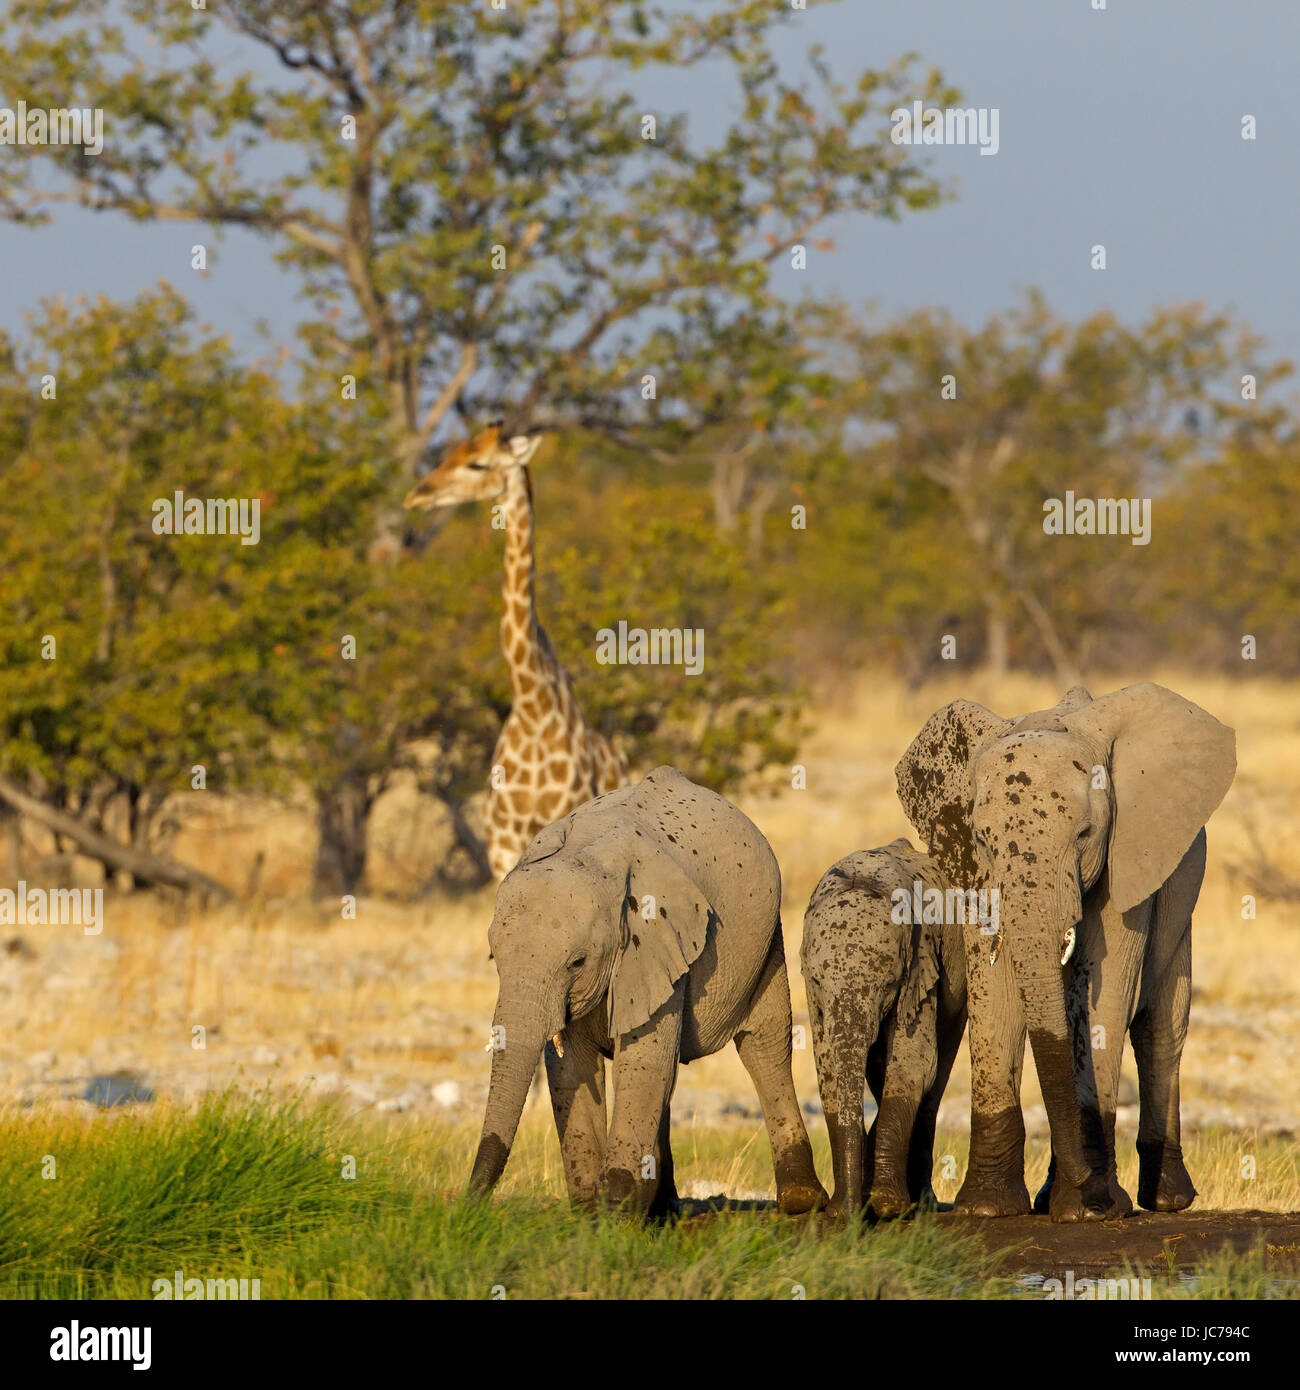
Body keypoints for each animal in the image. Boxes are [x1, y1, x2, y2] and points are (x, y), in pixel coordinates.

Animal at [467, 765, 828, 1217]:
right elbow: (573, 1067)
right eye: (494, 959)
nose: (467, 1205)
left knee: (764, 1044)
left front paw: (615, 1210)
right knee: (671, 1074)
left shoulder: (655, 943)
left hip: (766, 938)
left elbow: (641, 1059)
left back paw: (801, 1201)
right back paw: (661, 1207)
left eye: (577, 962)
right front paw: (591, 1212)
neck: (587, 854)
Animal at [801, 838, 967, 1220]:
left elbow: (913, 1060)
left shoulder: (921, 964)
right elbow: (826, 1066)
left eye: (890, 984)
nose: (847, 1214)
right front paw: (845, 1207)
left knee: (937, 1073)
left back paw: (922, 1201)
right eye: (816, 981)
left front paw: (888, 1205)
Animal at [895, 683, 1235, 1222]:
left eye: (1084, 835)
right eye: (983, 839)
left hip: (1184, 891)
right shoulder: (973, 872)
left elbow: (1103, 993)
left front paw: (1090, 1210)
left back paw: (1162, 1200)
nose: (1089, 1190)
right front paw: (987, 1209)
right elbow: (994, 995)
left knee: (1161, 1026)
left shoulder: (1127, 855)